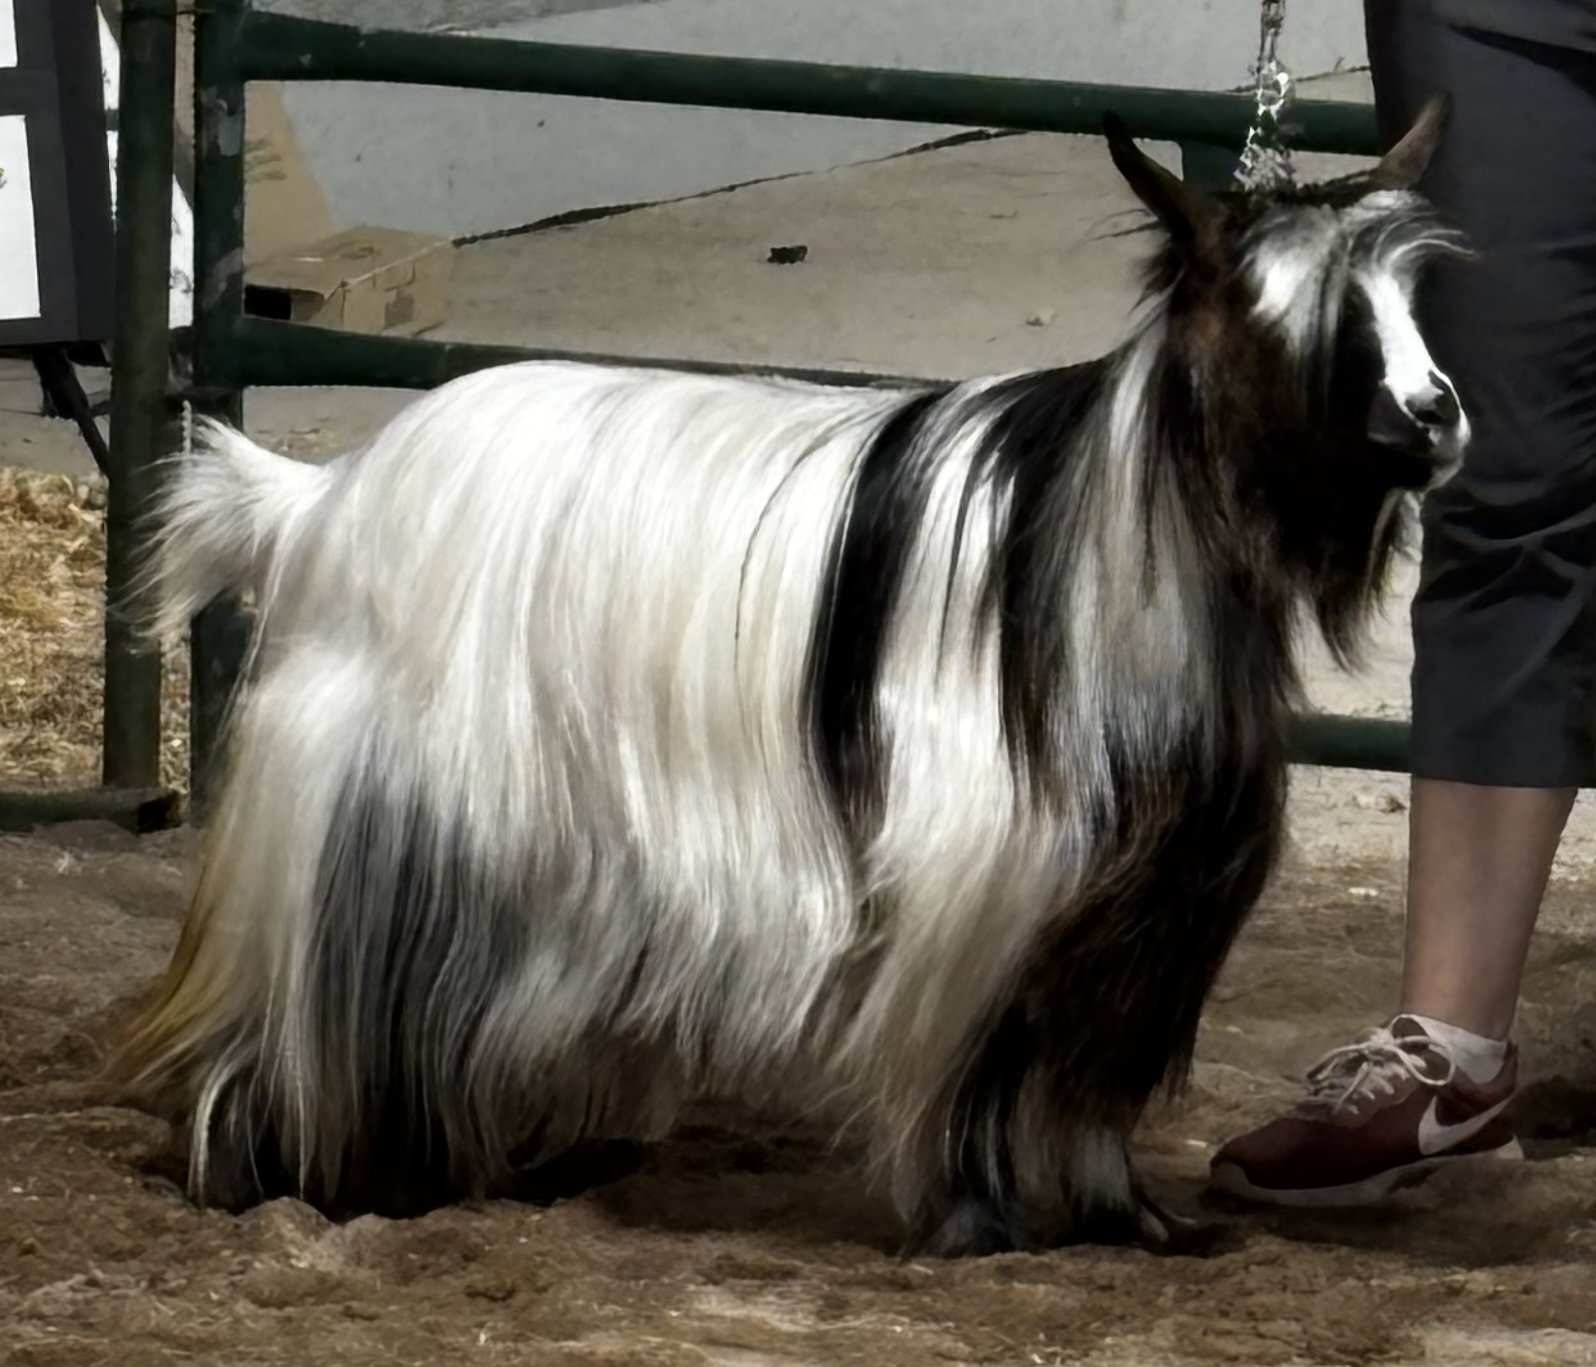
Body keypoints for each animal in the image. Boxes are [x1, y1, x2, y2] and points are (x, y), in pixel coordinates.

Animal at [107, 101, 1467, 1257]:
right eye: (1297, 316)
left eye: (1408, 297)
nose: (1435, 412)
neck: (1099, 546)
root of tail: (326, 500)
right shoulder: (989, 869)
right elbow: (969, 1065)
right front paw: (977, 1223)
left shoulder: (1149, 895)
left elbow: (1094, 1080)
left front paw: (1130, 1218)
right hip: (391, 812)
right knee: (307, 1007)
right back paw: (292, 1171)